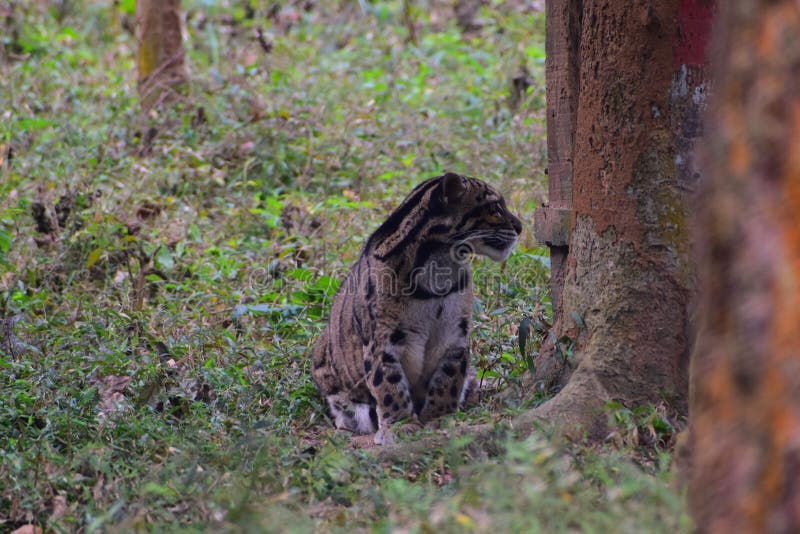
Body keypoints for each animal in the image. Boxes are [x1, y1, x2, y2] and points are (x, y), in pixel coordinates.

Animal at [312, 172, 523, 445]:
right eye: (495, 206)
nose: (521, 227)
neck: (441, 263)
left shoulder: (454, 333)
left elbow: (449, 378)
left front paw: (439, 418)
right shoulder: (381, 341)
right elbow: (388, 385)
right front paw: (400, 425)